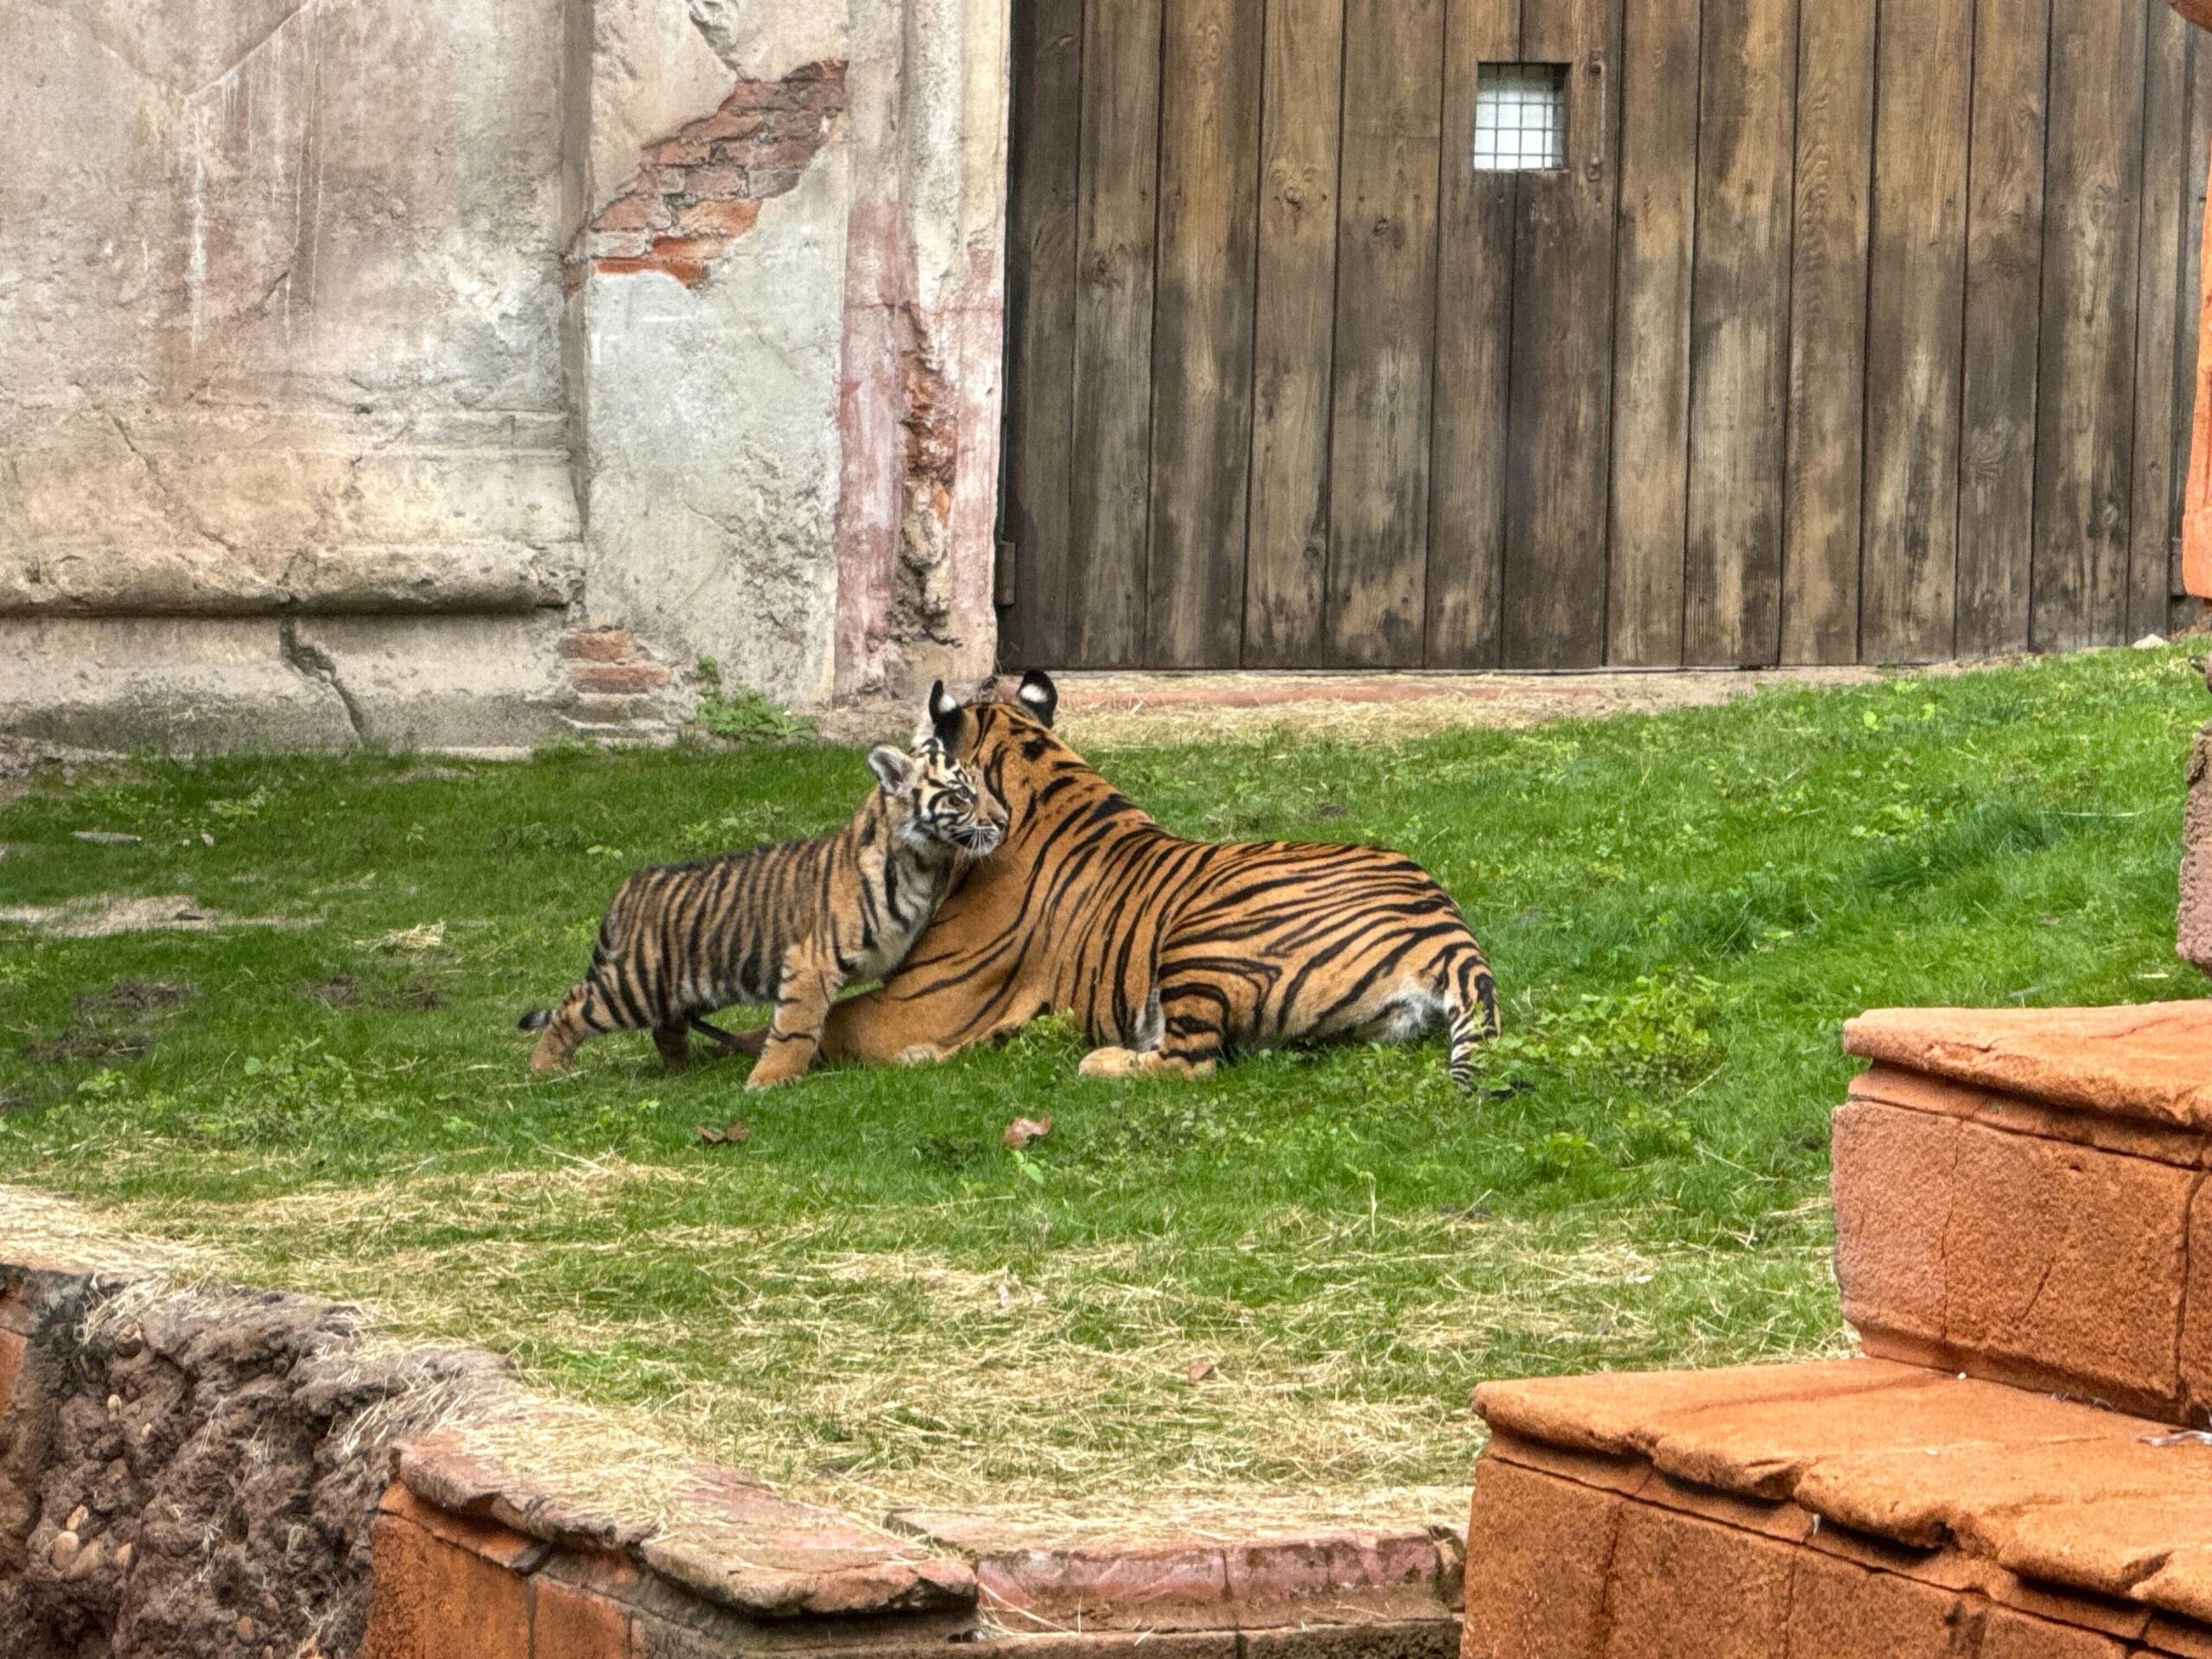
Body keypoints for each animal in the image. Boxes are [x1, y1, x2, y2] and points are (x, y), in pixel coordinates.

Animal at [518, 694, 1007, 1088]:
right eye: (962, 796)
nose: (1003, 821)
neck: (923, 864)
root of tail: (630, 886)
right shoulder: (811, 963)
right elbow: (796, 1028)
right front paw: (769, 1082)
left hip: (692, 986)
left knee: (664, 1026)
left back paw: (682, 1068)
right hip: (635, 984)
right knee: (574, 1006)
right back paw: (545, 1069)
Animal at [809, 672, 1499, 1085]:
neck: (1034, 767)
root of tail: (1446, 925)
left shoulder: (921, 999)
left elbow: (835, 1022)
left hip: (1202, 936)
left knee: (1189, 1063)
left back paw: (1099, 1060)